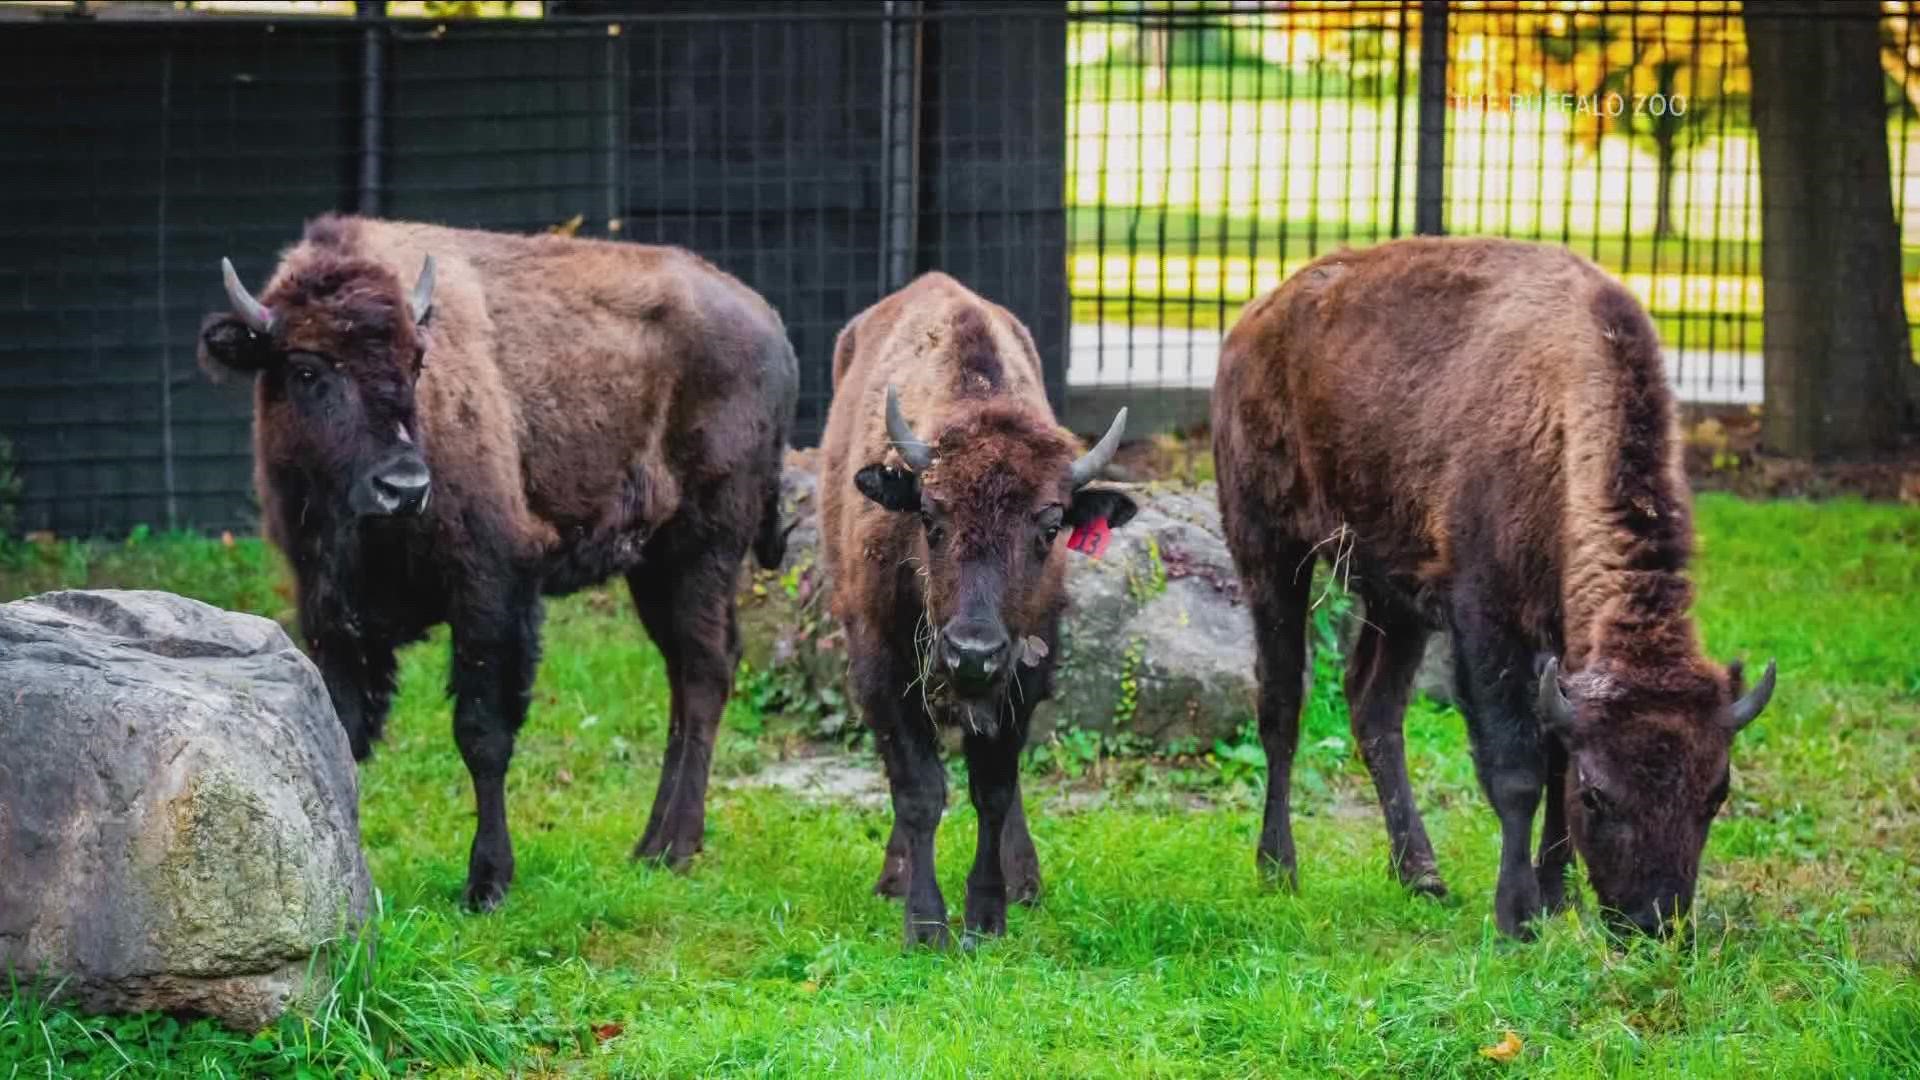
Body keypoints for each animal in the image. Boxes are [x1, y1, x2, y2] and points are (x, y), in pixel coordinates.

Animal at [814, 272, 1136, 945]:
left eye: (1050, 527)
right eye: (930, 517)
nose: (972, 651)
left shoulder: (1026, 674)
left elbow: (992, 788)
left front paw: (987, 916)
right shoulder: (882, 669)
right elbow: (918, 790)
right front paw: (925, 922)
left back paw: (1026, 881)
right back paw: (894, 877)